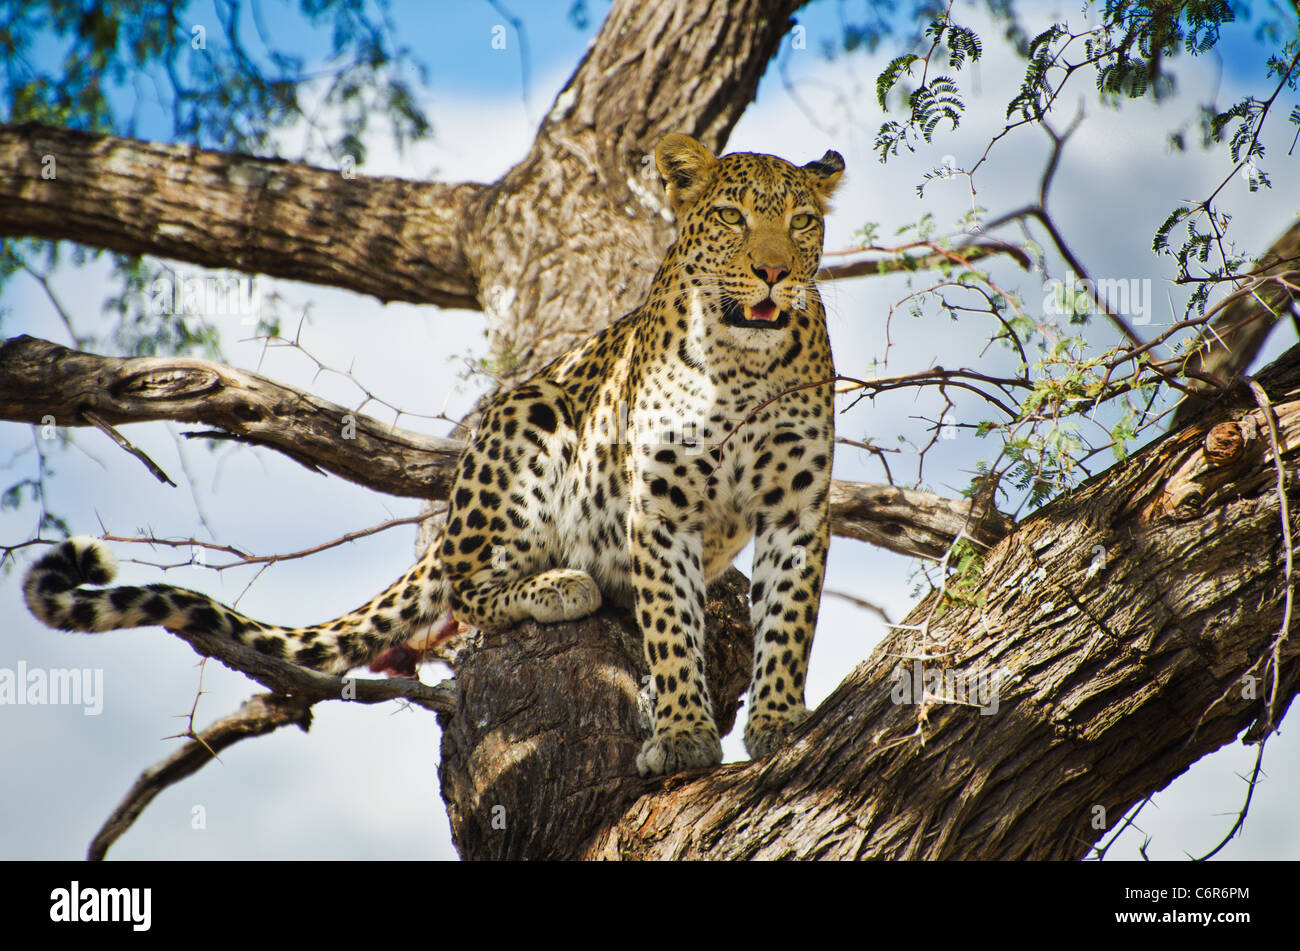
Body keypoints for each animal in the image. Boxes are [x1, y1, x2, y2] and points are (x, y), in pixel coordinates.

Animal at [24, 133, 844, 776]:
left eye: (802, 222)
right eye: (733, 217)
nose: (775, 272)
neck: (741, 365)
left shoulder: (796, 508)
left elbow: (788, 622)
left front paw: (778, 720)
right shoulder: (659, 508)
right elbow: (673, 629)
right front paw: (681, 734)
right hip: (529, 416)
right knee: (466, 583)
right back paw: (557, 586)